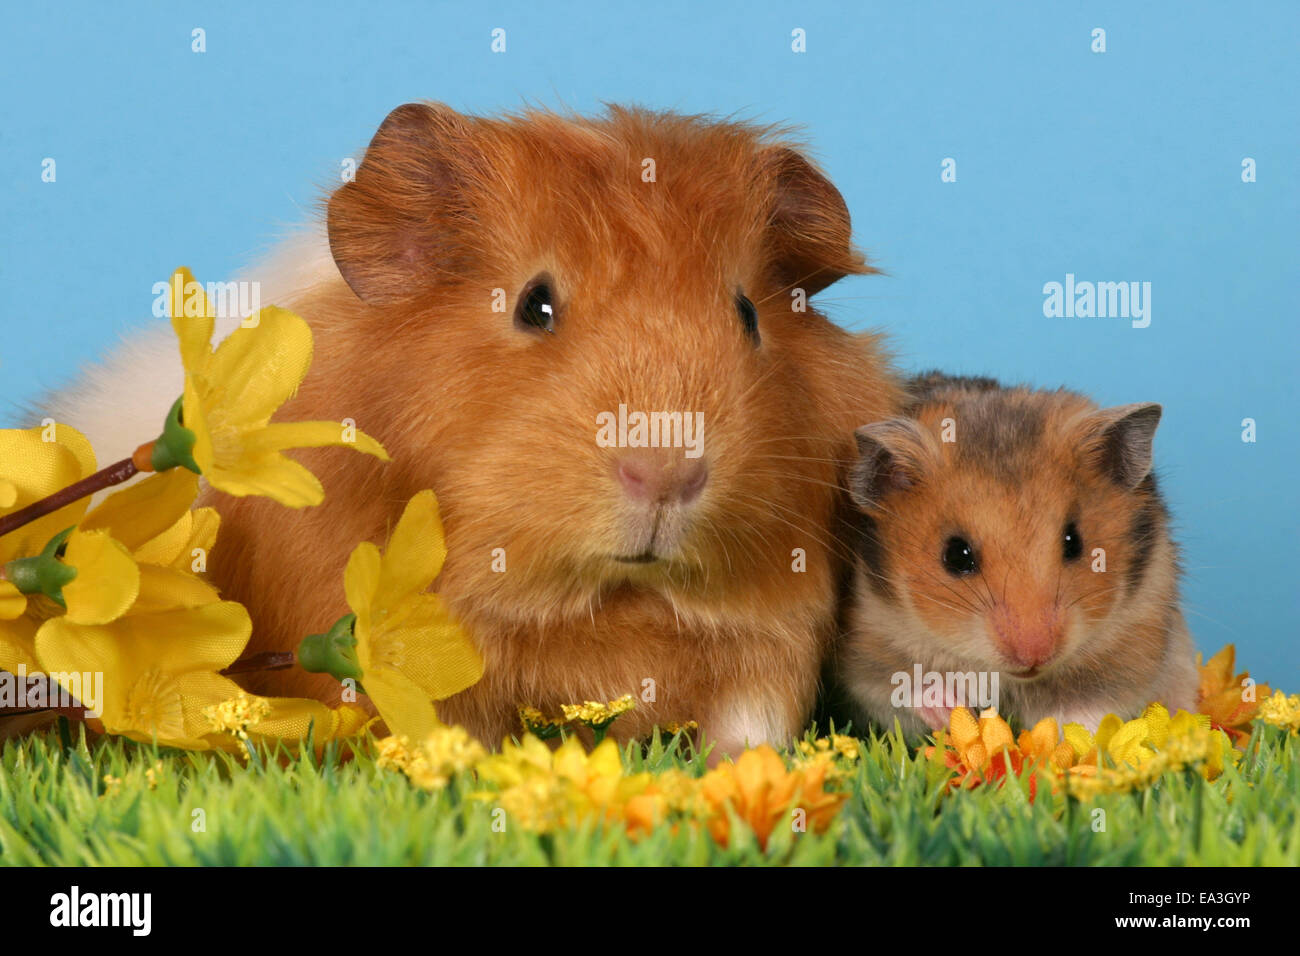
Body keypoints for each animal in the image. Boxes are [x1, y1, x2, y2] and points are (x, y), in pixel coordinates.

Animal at [53, 103, 899, 754]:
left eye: (748, 315)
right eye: (534, 304)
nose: (666, 472)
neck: (606, 603)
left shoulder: (772, 645)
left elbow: (750, 729)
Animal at [833, 372, 1198, 737]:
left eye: (1074, 542)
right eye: (956, 555)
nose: (1034, 656)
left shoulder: (1137, 636)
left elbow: (1088, 709)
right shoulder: (868, 649)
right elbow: (900, 689)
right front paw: (951, 709)